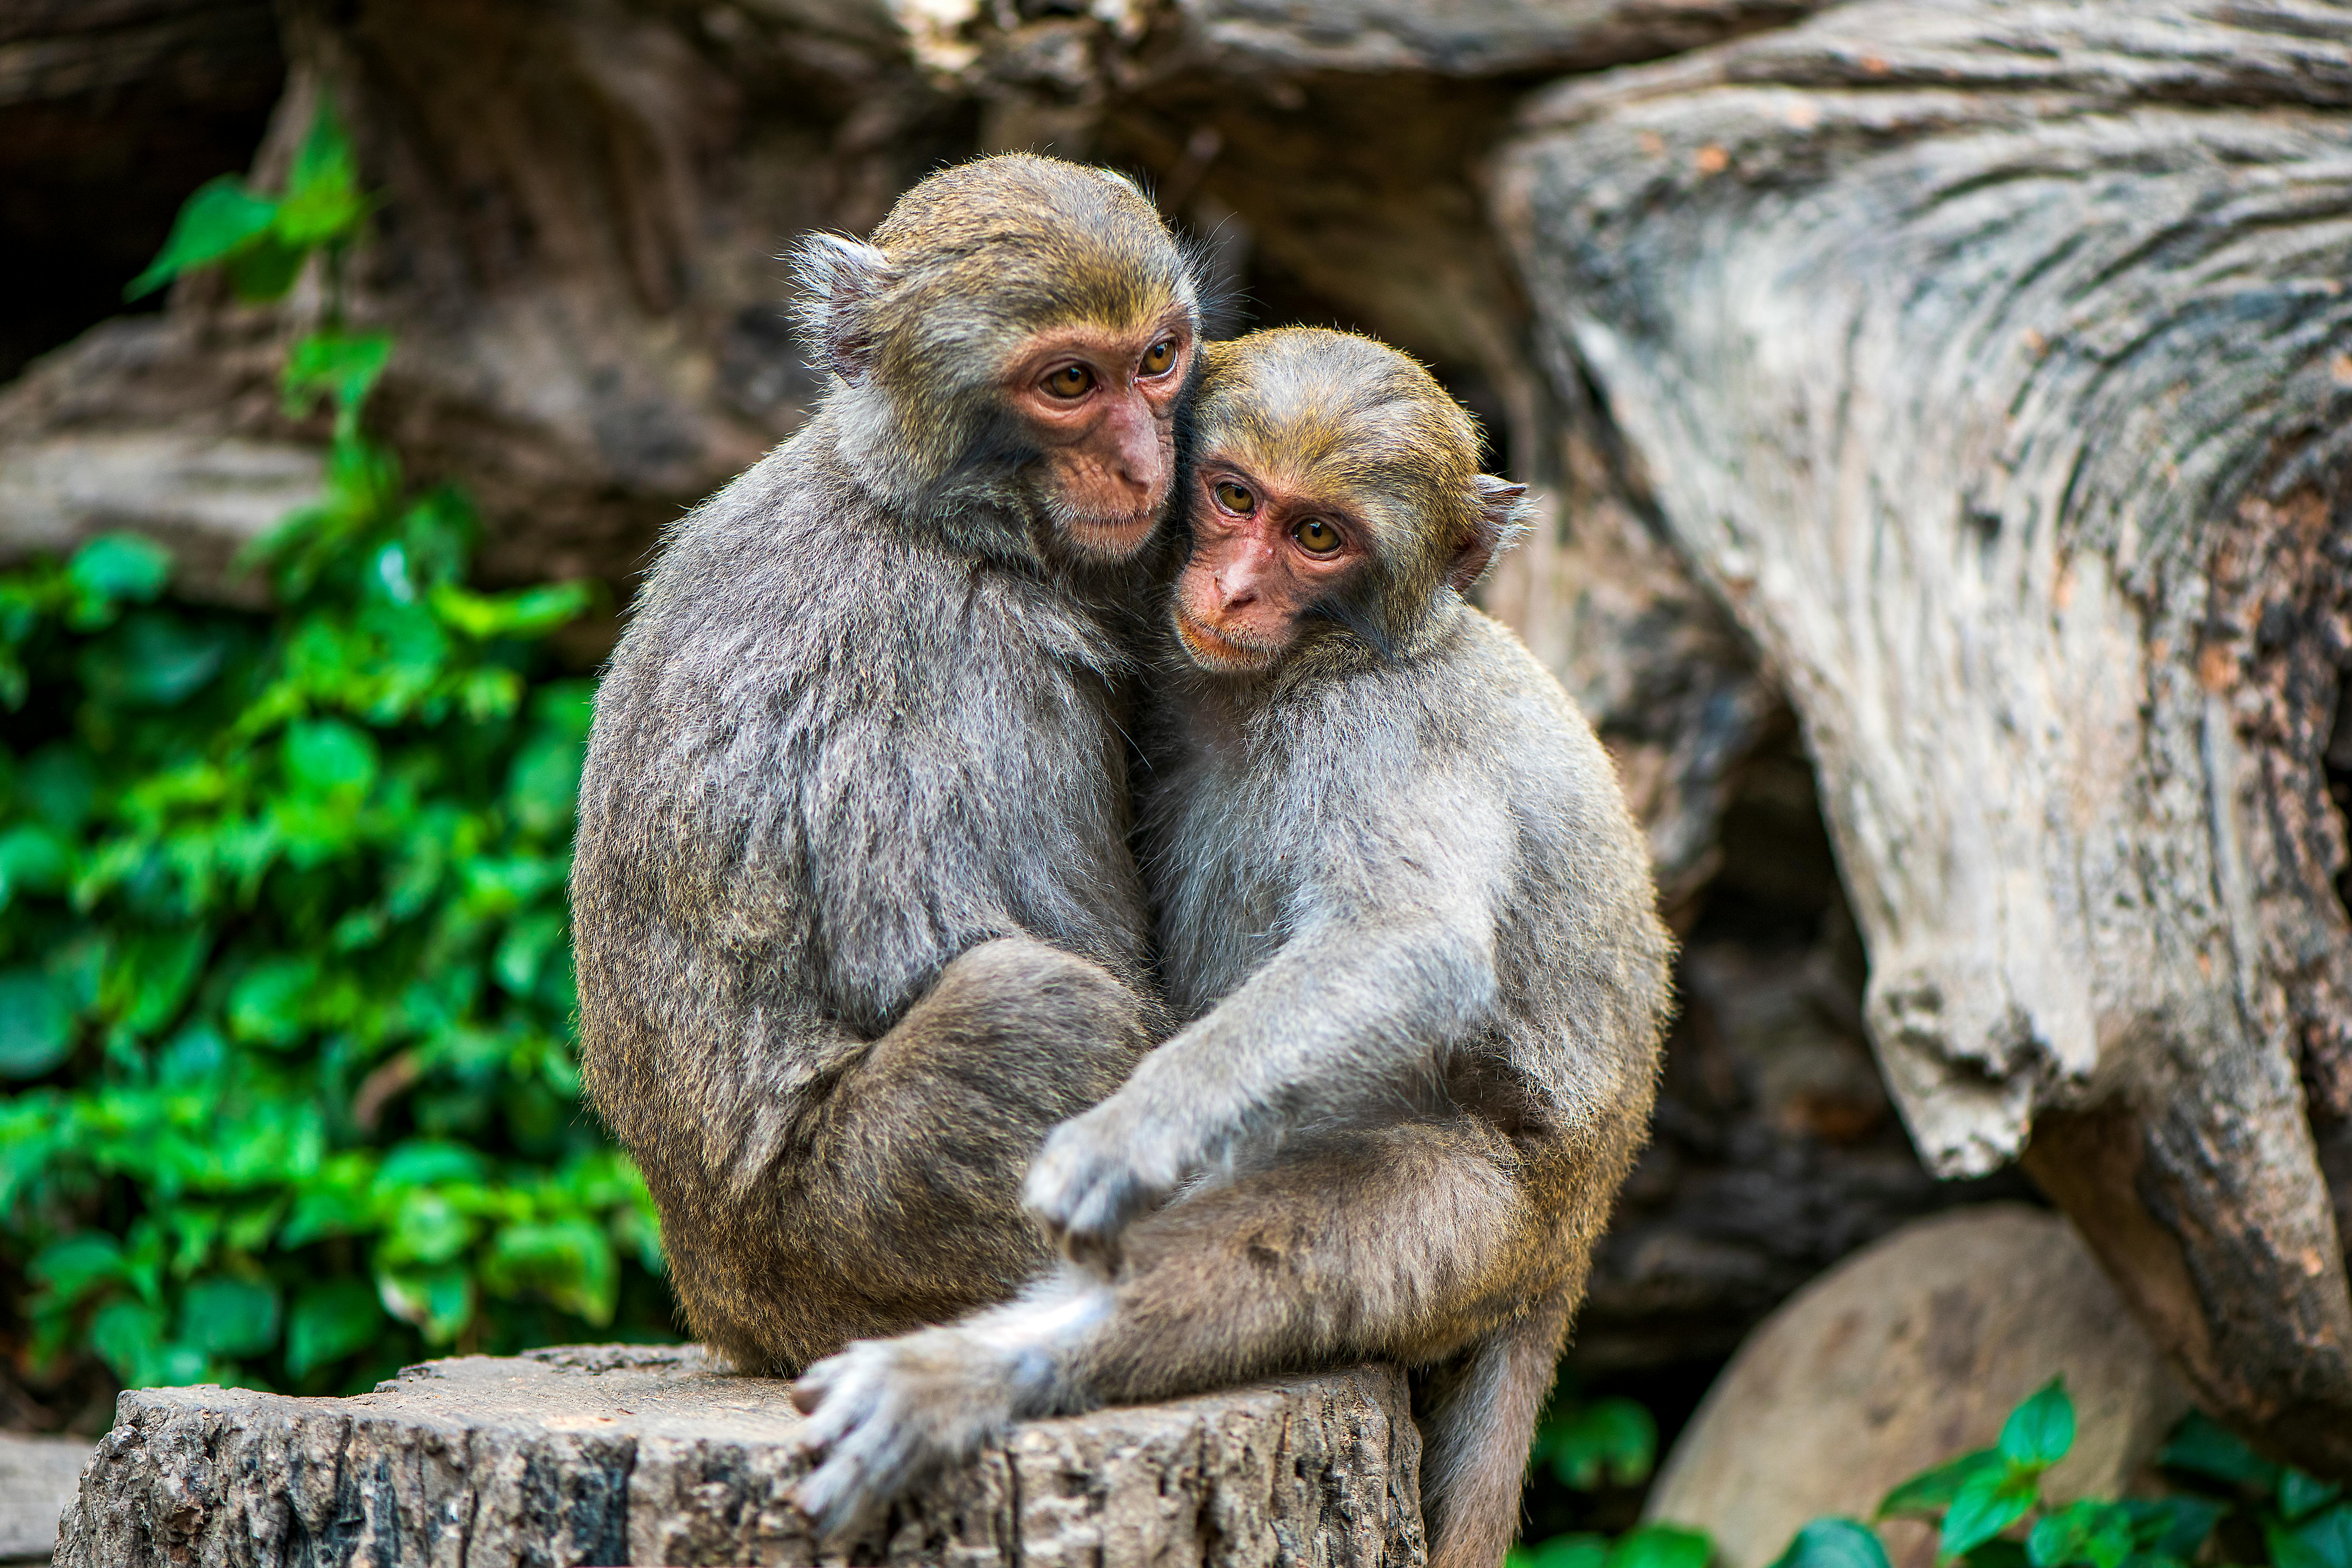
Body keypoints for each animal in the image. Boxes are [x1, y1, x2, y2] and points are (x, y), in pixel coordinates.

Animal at [568, 154, 1207, 1378]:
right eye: (1069, 381)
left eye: (1157, 359)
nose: (1142, 462)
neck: (938, 519)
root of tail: (731, 1307)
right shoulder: (980, 663)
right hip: (867, 1231)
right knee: (1039, 1005)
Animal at [788, 326, 1674, 1568]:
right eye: (1236, 498)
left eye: (1318, 538)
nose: (1238, 586)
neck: (1312, 664)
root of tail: (1585, 1220)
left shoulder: (1377, 727)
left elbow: (1405, 945)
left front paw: (1128, 1137)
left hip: (1494, 1210)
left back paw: (970, 1375)